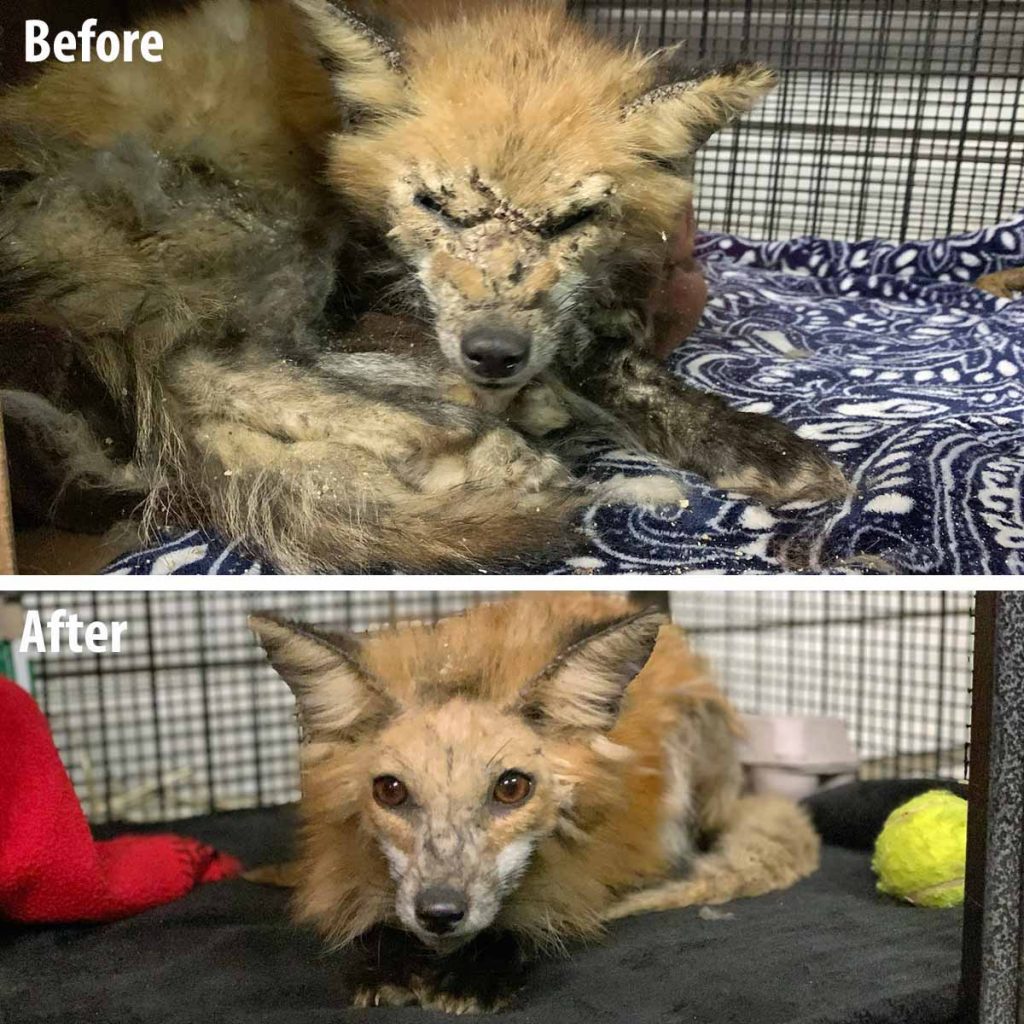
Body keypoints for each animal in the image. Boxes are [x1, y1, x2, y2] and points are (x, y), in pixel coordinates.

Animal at [0, 0, 848, 572]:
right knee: (207, 368)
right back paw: (467, 443)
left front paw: (737, 438)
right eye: (436, 204)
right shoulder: (372, 271)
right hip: (277, 235)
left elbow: (620, 359)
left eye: (572, 219)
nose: (494, 354)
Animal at [247, 593, 821, 1013]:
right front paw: (388, 963)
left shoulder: (587, 872)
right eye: (391, 791)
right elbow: (376, 922)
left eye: (511, 788)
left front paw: (474, 974)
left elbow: (528, 921)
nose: (440, 913)